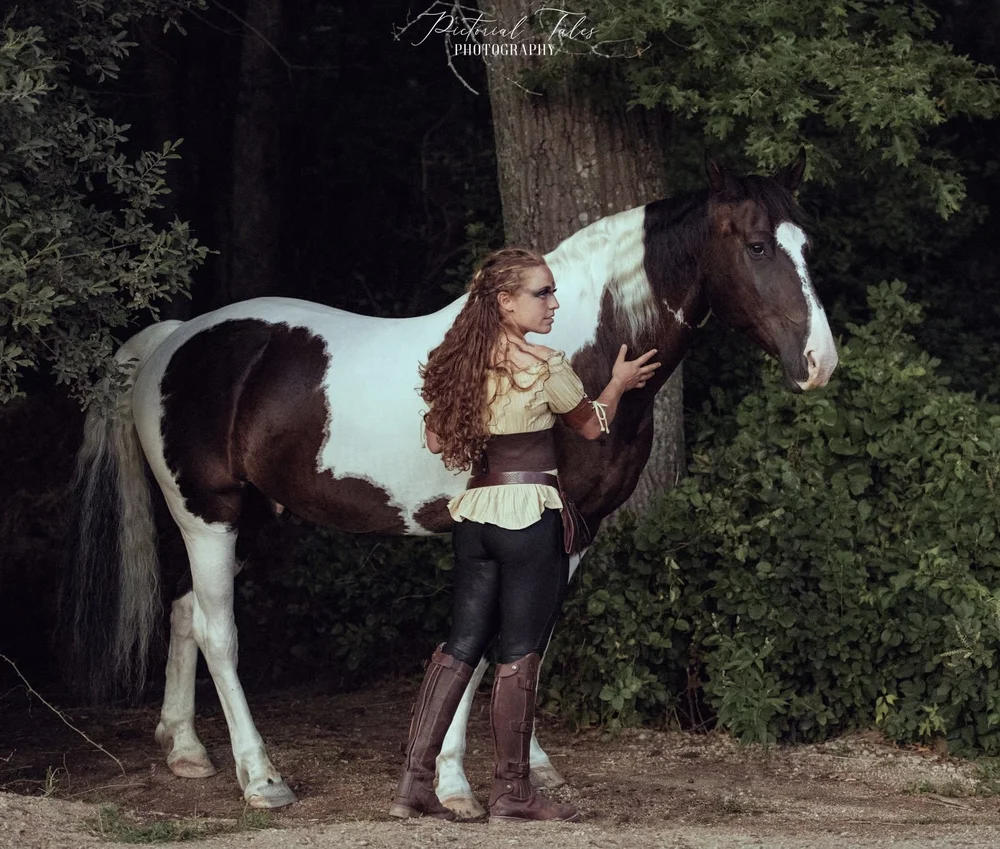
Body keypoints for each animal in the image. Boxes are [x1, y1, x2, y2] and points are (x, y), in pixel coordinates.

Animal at [62, 152, 838, 812]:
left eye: (809, 246)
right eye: (758, 245)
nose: (819, 362)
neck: (569, 356)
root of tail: (174, 338)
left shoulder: (573, 528)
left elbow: (530, 636)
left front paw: (530, 765)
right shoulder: (504, 523)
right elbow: (488, 640)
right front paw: (453, 781)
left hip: (246, 518)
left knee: (184, 610)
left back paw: (187, 750)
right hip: (208, 513)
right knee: (217, 630)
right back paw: (260, 778)